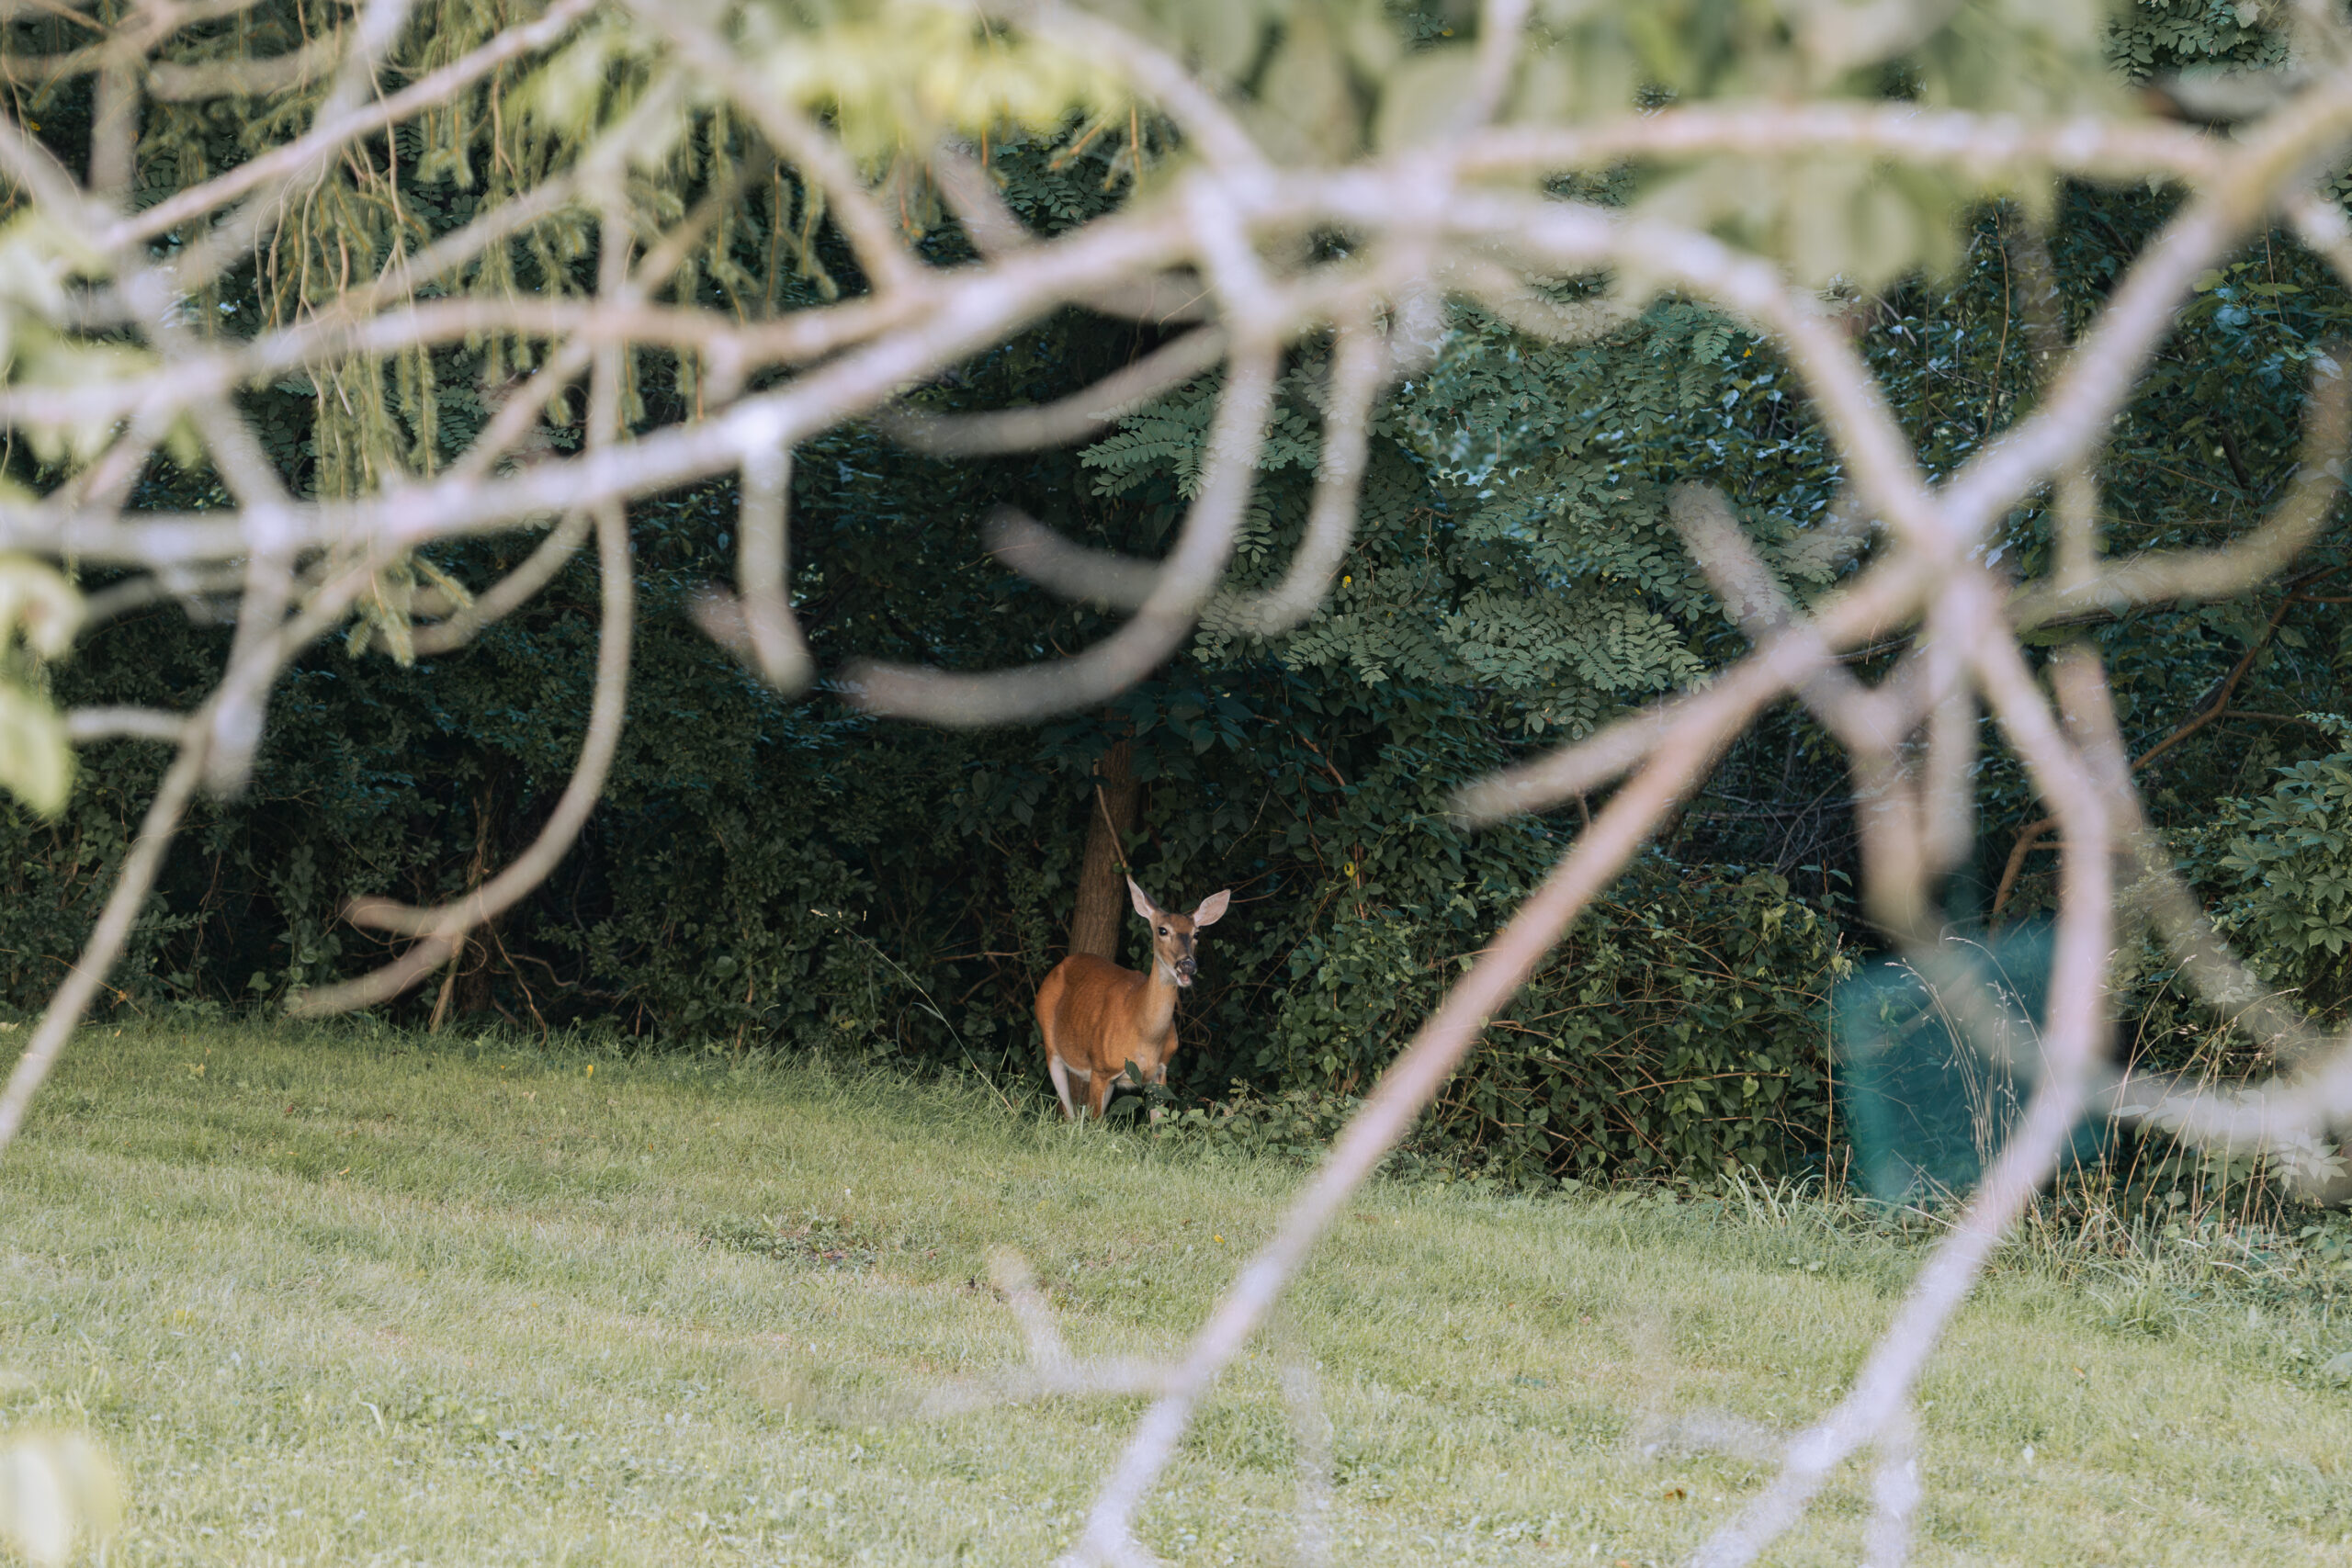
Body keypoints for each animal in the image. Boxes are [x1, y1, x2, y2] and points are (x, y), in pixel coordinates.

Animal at [1035, 876, 1231, 1120]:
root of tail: (1059, 966)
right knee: (1069, 1111)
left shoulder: (1160, 1071)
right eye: (1162, 930)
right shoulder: (1100, 1068)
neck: (1145, 1035)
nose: (1187, 964)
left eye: (1196, 934)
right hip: (1051, 1046)